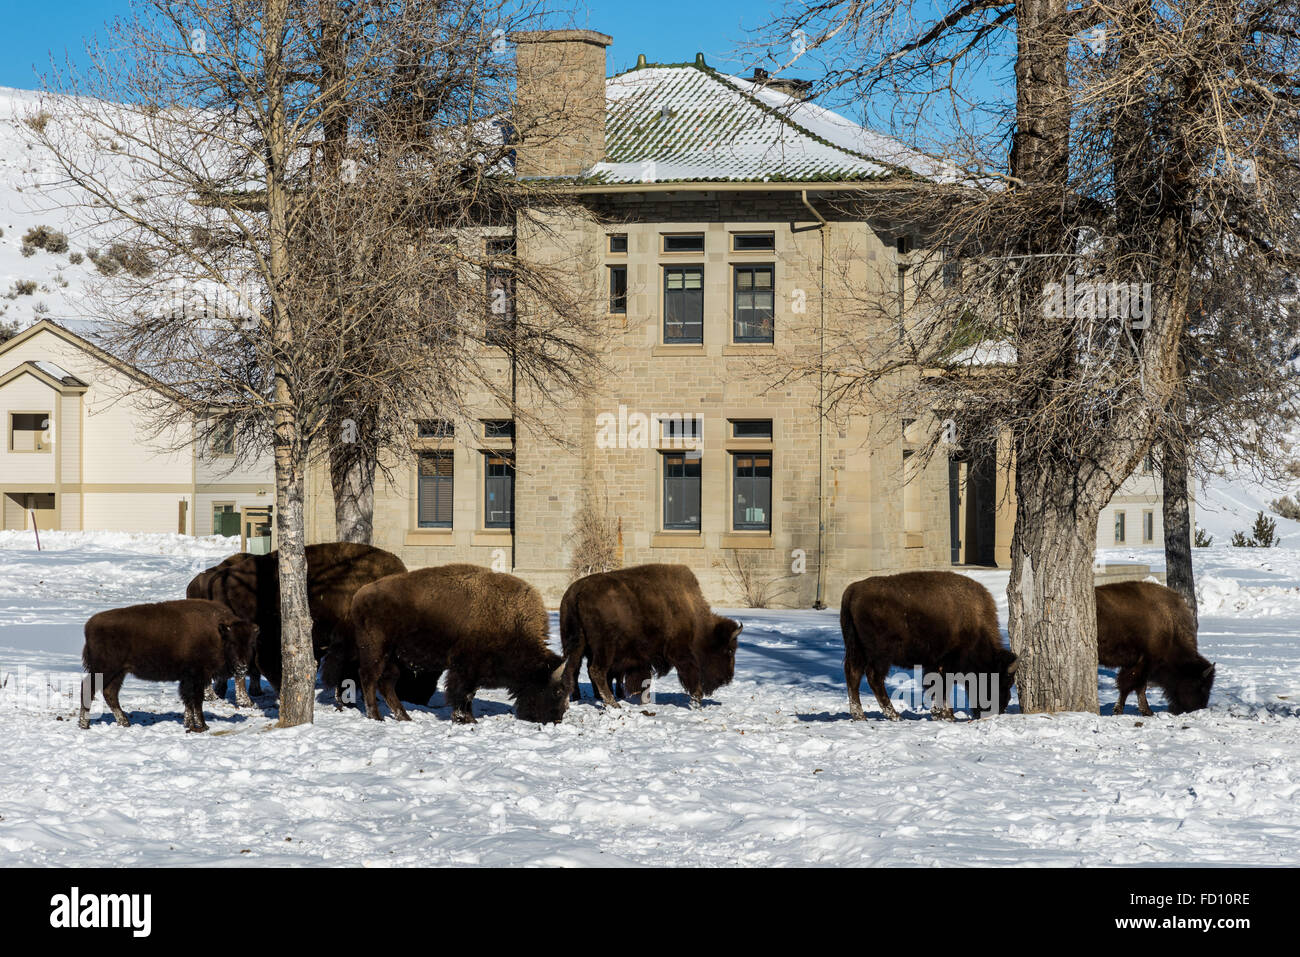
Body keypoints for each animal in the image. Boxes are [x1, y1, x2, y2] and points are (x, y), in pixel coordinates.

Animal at [79, 599, 259, 732]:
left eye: (251, 643)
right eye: (232, 642)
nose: (242, 667)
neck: (218, 633)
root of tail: (89, 625)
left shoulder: (189, 679)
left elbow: (188, 701)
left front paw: (190, 723)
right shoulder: (197, 676)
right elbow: (196, 700)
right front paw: (202, 726)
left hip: (119, 673)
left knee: (110, 694)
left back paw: (125, 723)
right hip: (104, 670)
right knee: (88, 688)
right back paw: (85, 725)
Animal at [350, 564, 568, 723]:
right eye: (557, 690)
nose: (557, 719)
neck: (512, 622)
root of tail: (360, 595)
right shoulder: (465, 668)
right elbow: (464, 693)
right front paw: (467, 719)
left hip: (395, 658)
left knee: (386, 683)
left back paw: (405, 717)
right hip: (376, 651)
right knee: (369, 678)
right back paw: (376, 717)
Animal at [560, 564, 742, 709]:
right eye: (729, 650)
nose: (728, 679)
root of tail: (577, 591)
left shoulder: (643, 659)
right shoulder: (680, 654)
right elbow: (691, 675)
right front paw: (696, 701)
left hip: (577, 645)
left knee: (571, 669)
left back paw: (572, 700)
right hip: (604, 648)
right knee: (596, 671)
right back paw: (613, 704)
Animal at [840, 571, 1017, 720]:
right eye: (1003, 682)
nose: (998, 710)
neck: (976, 625)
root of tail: (853, 590)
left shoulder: (935, 663)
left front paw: (942, 714)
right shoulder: (946, 662)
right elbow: (943, 686)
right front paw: (946, 715)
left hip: (857, 648)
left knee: (853, 675)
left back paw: (860, 716)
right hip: (881, 654)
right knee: (874, 677)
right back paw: (895, 716)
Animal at [1096, 580, 1214, 715]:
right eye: (1201, 686)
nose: (1199, 707)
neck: (1170, 625)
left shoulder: (1135, 664)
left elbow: (1135, 686)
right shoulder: (1144, 663)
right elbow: (1132, 686)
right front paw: (1137, 711)